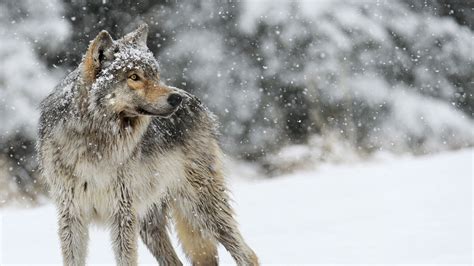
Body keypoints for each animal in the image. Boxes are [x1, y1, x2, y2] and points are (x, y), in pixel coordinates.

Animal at [37, 23, 260, 266]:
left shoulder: (122, 213)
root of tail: (196, 102)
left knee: (248, 254)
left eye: (155, 74)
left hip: (201, 207)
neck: (95, 141)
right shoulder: (72, 215)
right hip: (149, 224)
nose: (176, 99)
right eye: (134, 76)